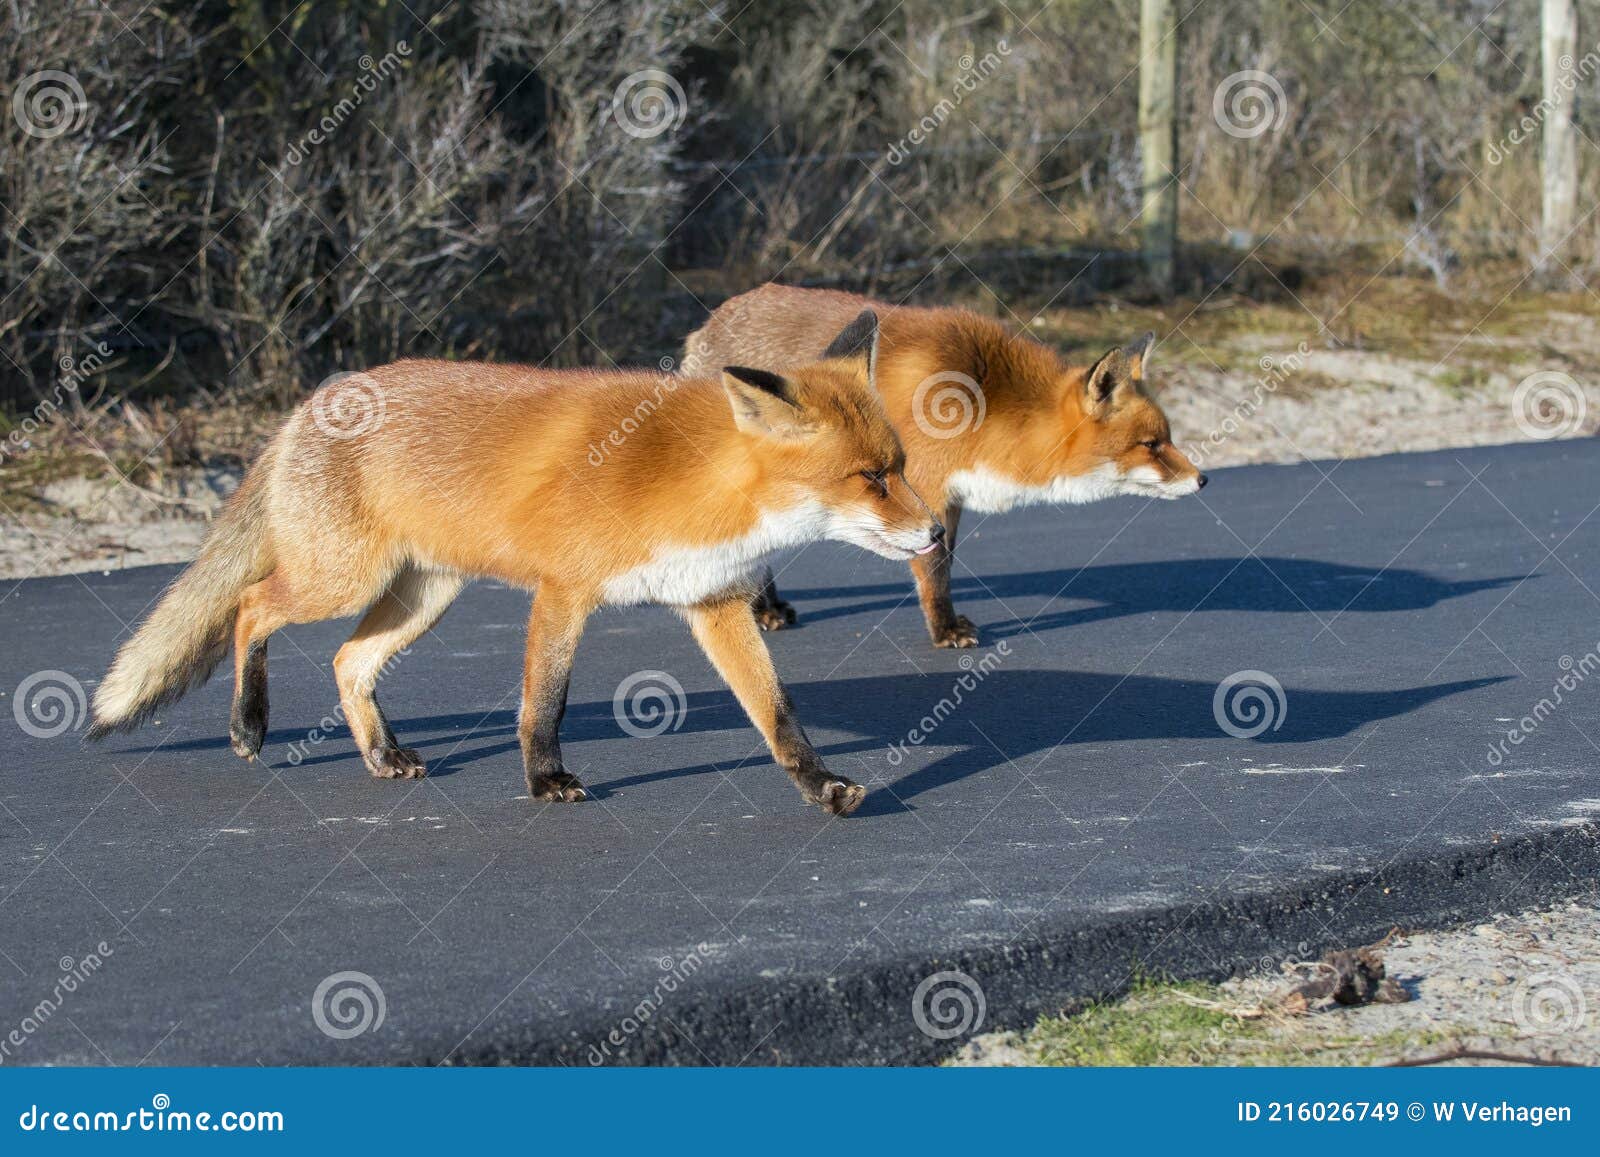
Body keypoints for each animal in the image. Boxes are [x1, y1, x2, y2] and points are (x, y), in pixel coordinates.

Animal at [86, 311, 941, 816]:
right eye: (870, 477)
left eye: (901, 464)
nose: (936, 531)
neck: (693, 482)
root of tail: (311, 402)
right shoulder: (563, 592)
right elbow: (544, 703)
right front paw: (543, 780)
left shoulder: (713, 601)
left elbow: (779, 714)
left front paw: (821, 785)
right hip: (341, 580)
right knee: (250, 607)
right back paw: (248, 722)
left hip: (424, 596)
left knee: (344, 660)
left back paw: (380, 753)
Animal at [681, 284, 1206, 648]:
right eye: (1151, 445)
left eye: (1169, 439)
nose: (1202, 479)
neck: (985, 406)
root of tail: (710, 322)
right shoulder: (924, 488)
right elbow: (933, 570)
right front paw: (945, 632)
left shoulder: (950, 500)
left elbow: (946, 565)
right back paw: (761, 610)